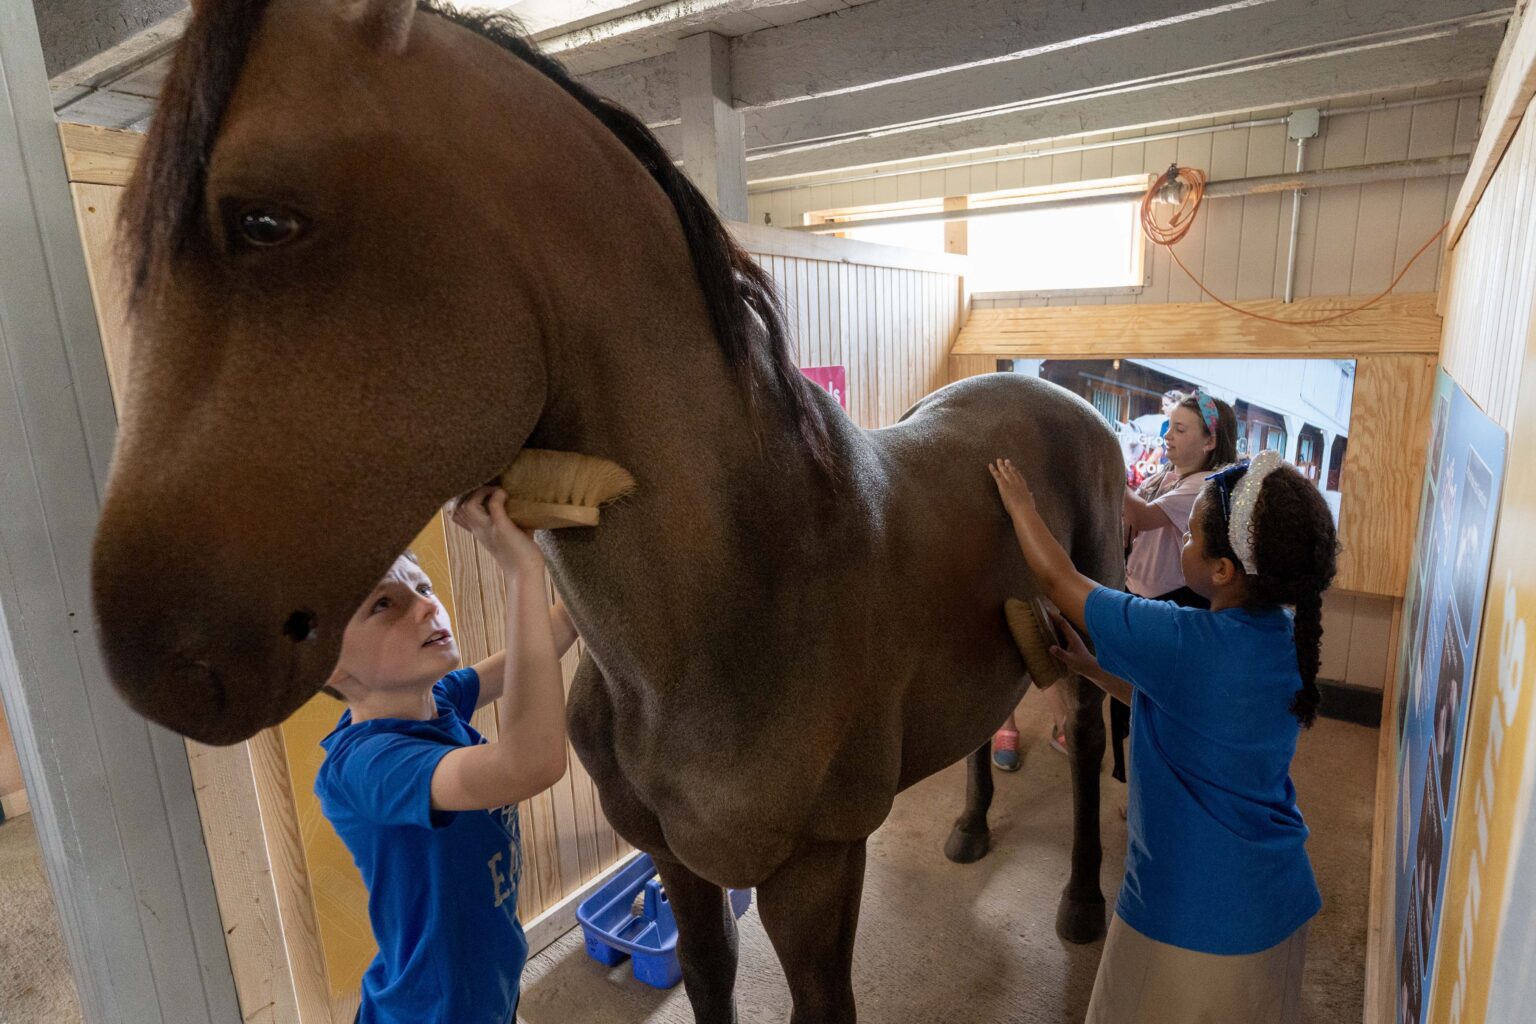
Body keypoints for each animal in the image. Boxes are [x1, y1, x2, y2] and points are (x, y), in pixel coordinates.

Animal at [90, 2, 1126, 1020]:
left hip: (1087, 636)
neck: (746, 600)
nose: (155, 664)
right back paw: (968, 829)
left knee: (1088, 745)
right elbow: (708, 975)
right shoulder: (676, 863)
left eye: (263, 219)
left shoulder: (816, 870)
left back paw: (1083, 907)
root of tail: (1063, 397)